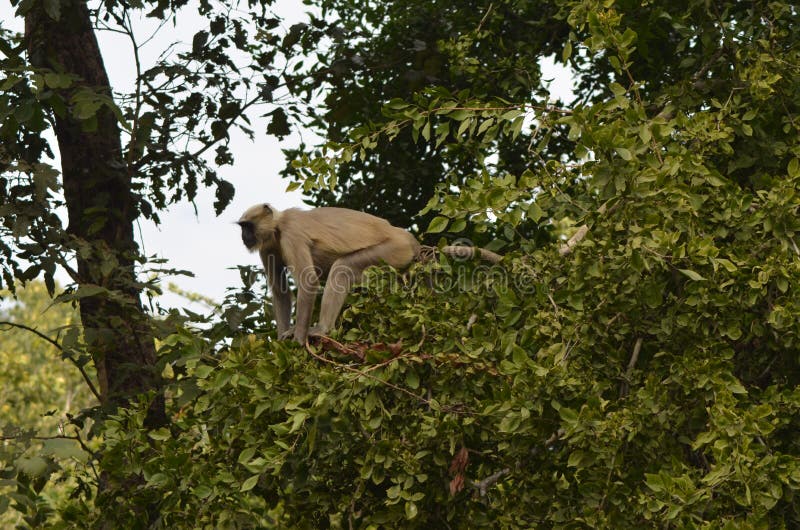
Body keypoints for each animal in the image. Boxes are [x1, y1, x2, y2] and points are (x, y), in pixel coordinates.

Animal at [237, 204, 501, 344]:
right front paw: (281, 340)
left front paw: (299, 341)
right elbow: (280, 291)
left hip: (393, 250)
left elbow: (309, 281)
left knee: (342, 269)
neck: (278, 227)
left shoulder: (291, 231)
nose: (244, 237)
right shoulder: (269, 245)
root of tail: (409, 239)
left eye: (247, 226)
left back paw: (323, 329)